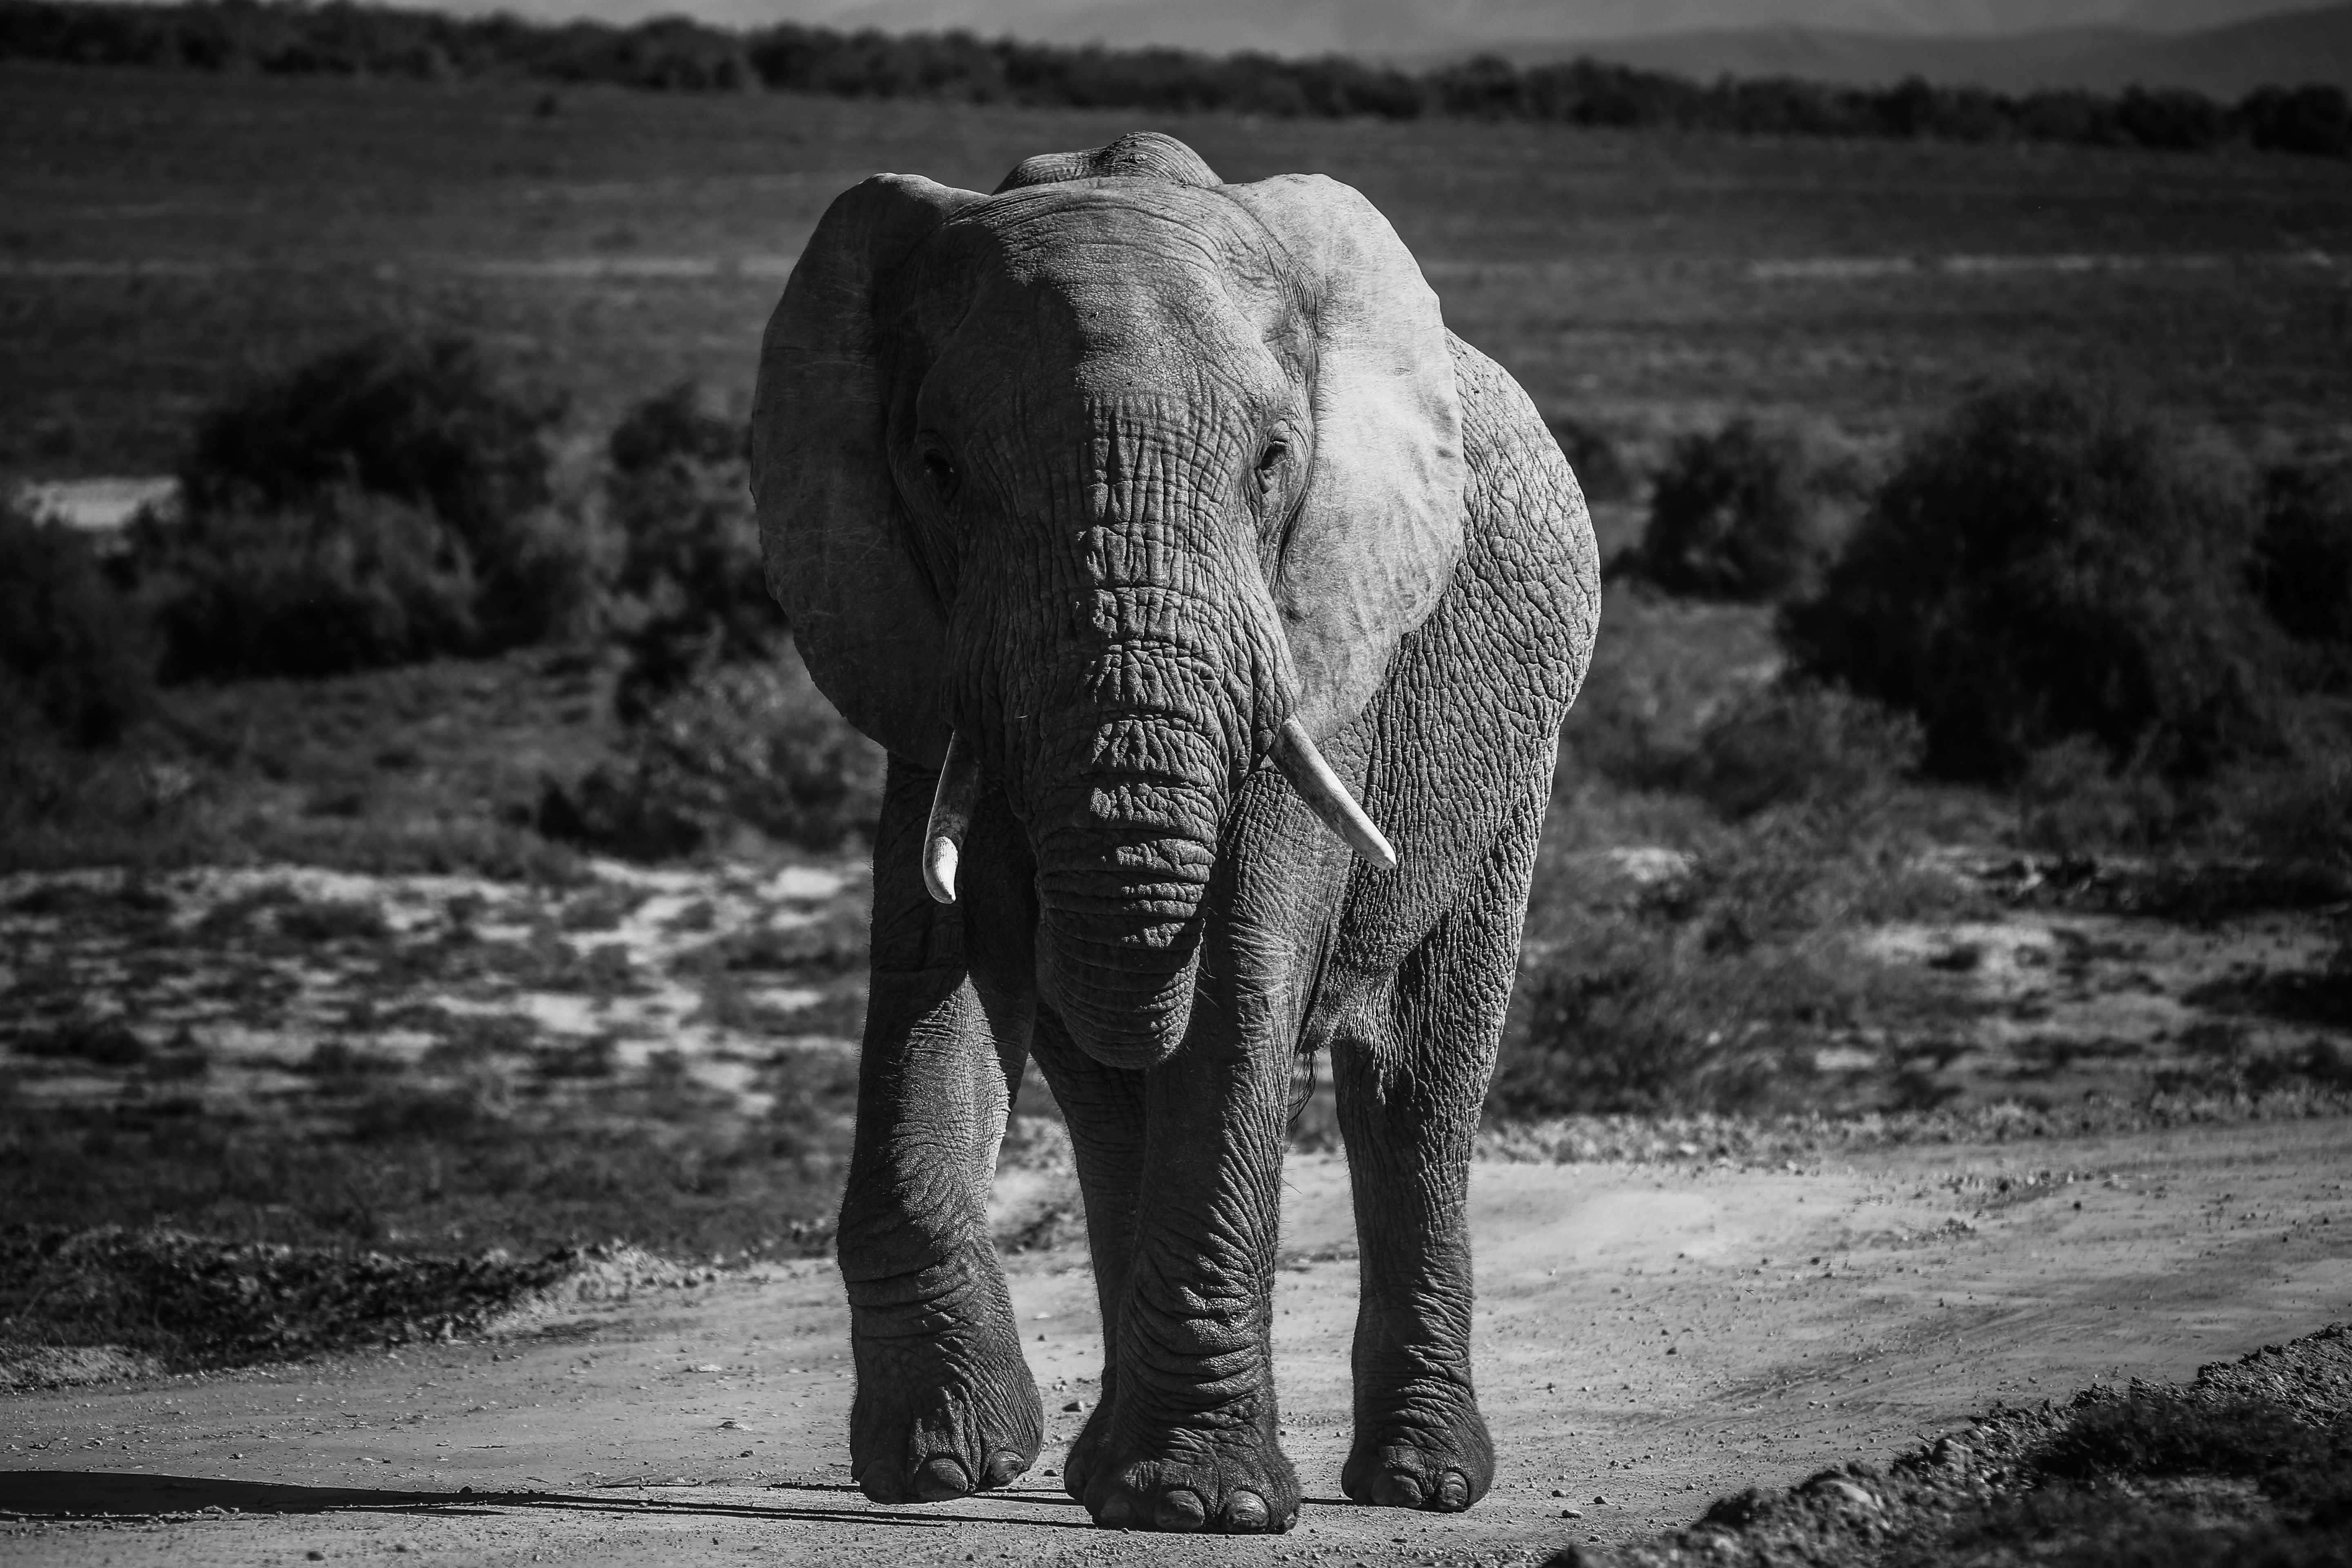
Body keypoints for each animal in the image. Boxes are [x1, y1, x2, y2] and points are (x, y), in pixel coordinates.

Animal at [750, 130, 1599, 1535]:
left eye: (1273, 460)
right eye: (936, 469)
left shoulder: (1325, 644)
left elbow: (1243, 970)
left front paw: (1206, 1507)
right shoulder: (923, 648)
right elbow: (937, 962)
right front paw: (945, 1463)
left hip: (1518, 764)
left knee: (1413, 1086)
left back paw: (1421, 1483)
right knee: (1109, 1102)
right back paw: (1104, 1469)